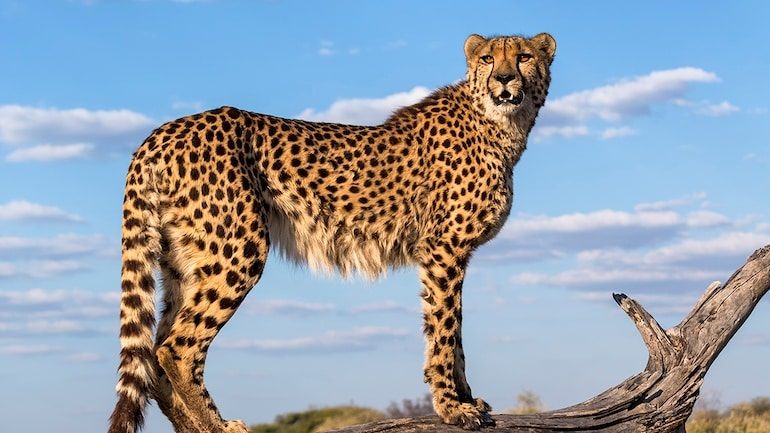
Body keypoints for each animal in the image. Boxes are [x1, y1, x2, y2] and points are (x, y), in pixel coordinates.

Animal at [108, 32, 556, 433]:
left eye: (524, 56)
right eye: (487, 58)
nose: (504, 79)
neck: (501, 125)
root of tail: (163, 131)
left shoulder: (450, 254)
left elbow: (455, 334)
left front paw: (467, 399)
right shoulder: (443, 249)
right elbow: (445, 331)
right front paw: (452, 408)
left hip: (183, 258)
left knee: (154, 351)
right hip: (237, 248)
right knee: (176, 348)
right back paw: (216, 426)